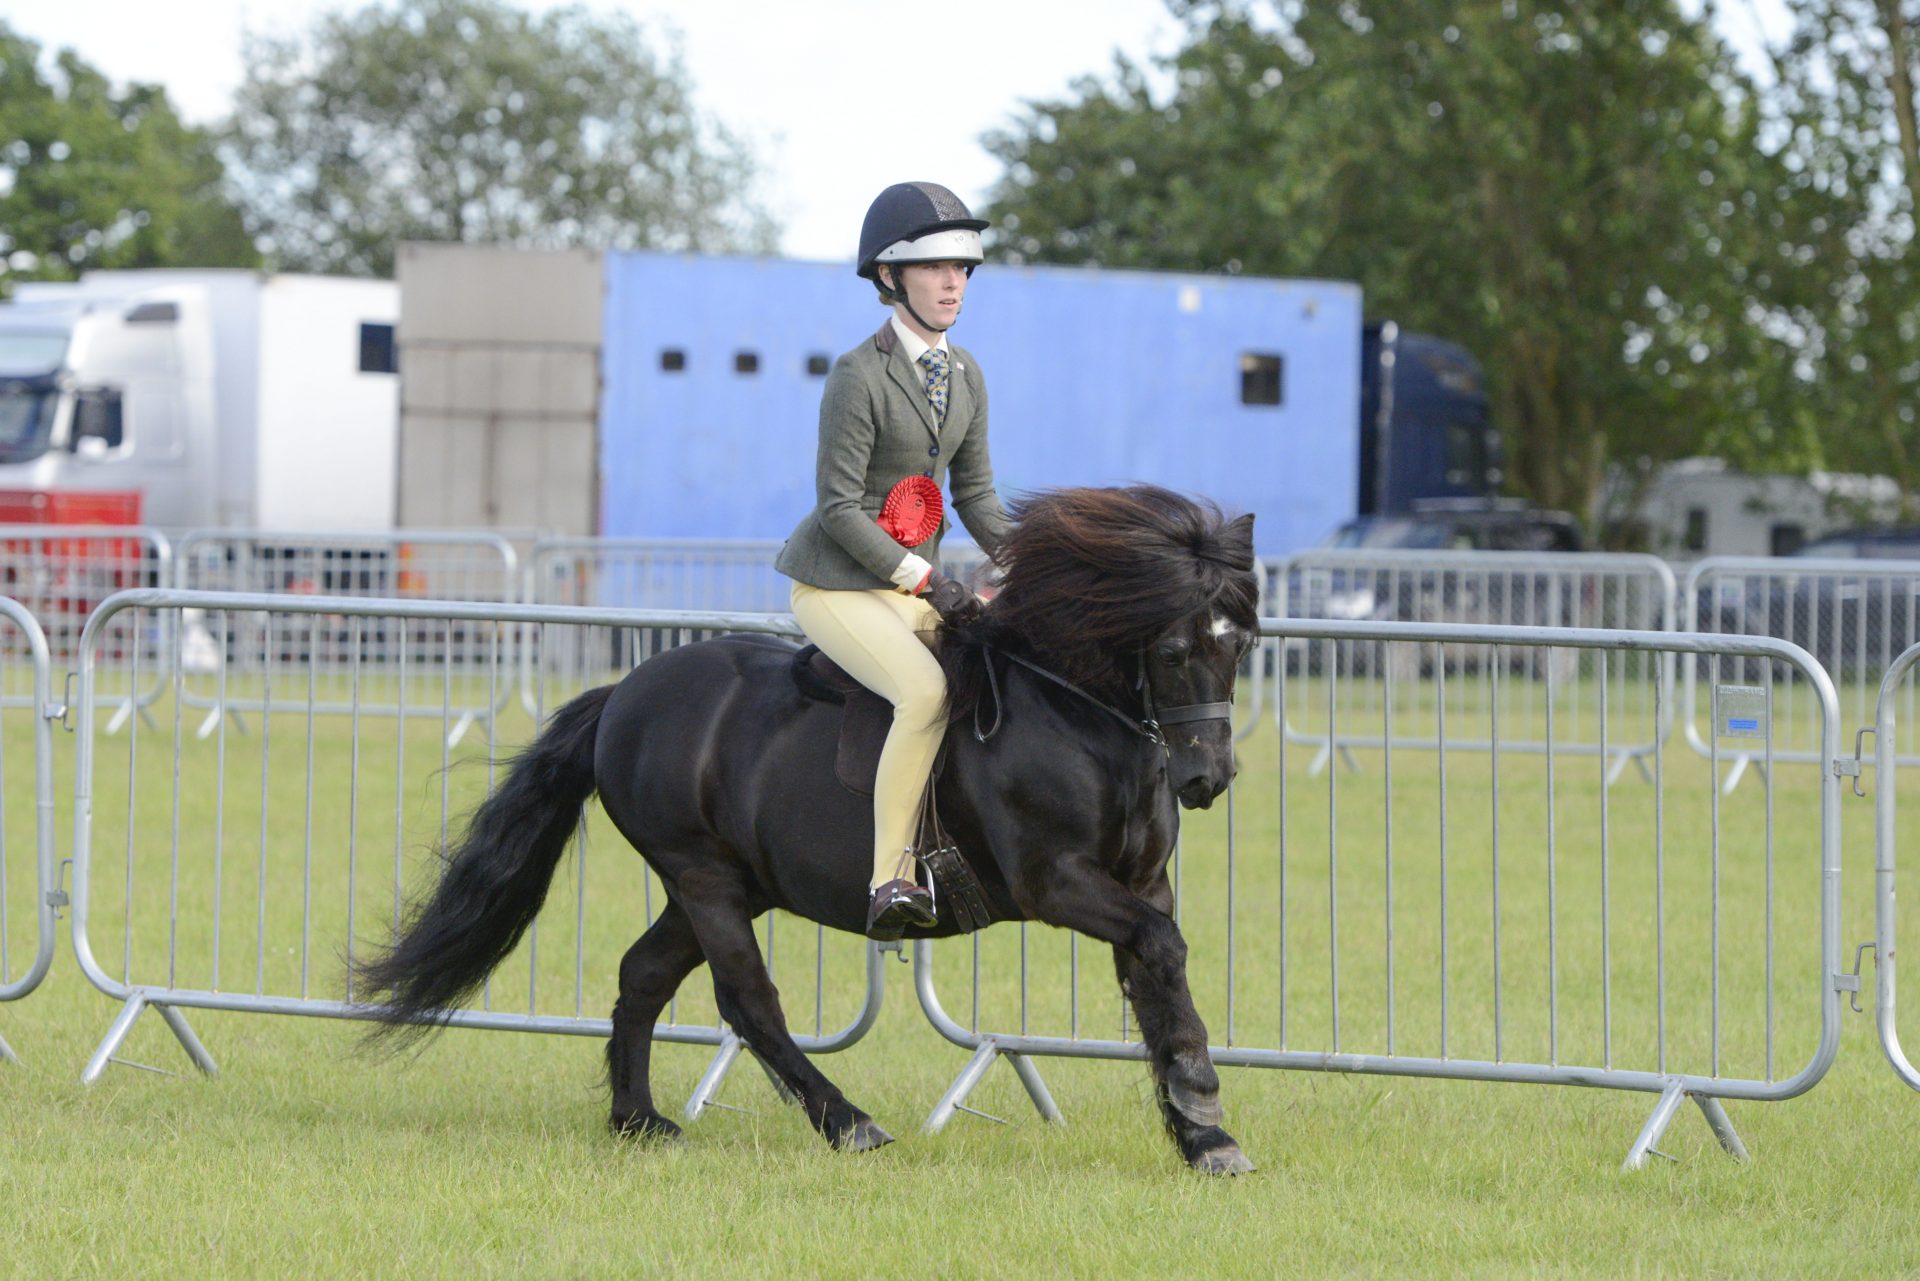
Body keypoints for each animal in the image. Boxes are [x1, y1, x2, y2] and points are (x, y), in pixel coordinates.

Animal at [355, 484, 1260, 1175]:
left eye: (1241, 645)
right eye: (1173, 647)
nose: (1207, 779)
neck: (1075, 711)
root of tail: (622, 695)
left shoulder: (1141, 884)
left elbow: (1157, 981)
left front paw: (1201, 1131)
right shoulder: (1058, 881)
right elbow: (1162, 954)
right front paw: (1203, 1108)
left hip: (722, 884)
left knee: (643, 975)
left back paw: (638, 1120)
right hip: (704, 879)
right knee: (748, 1000)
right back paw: (848, 1122)